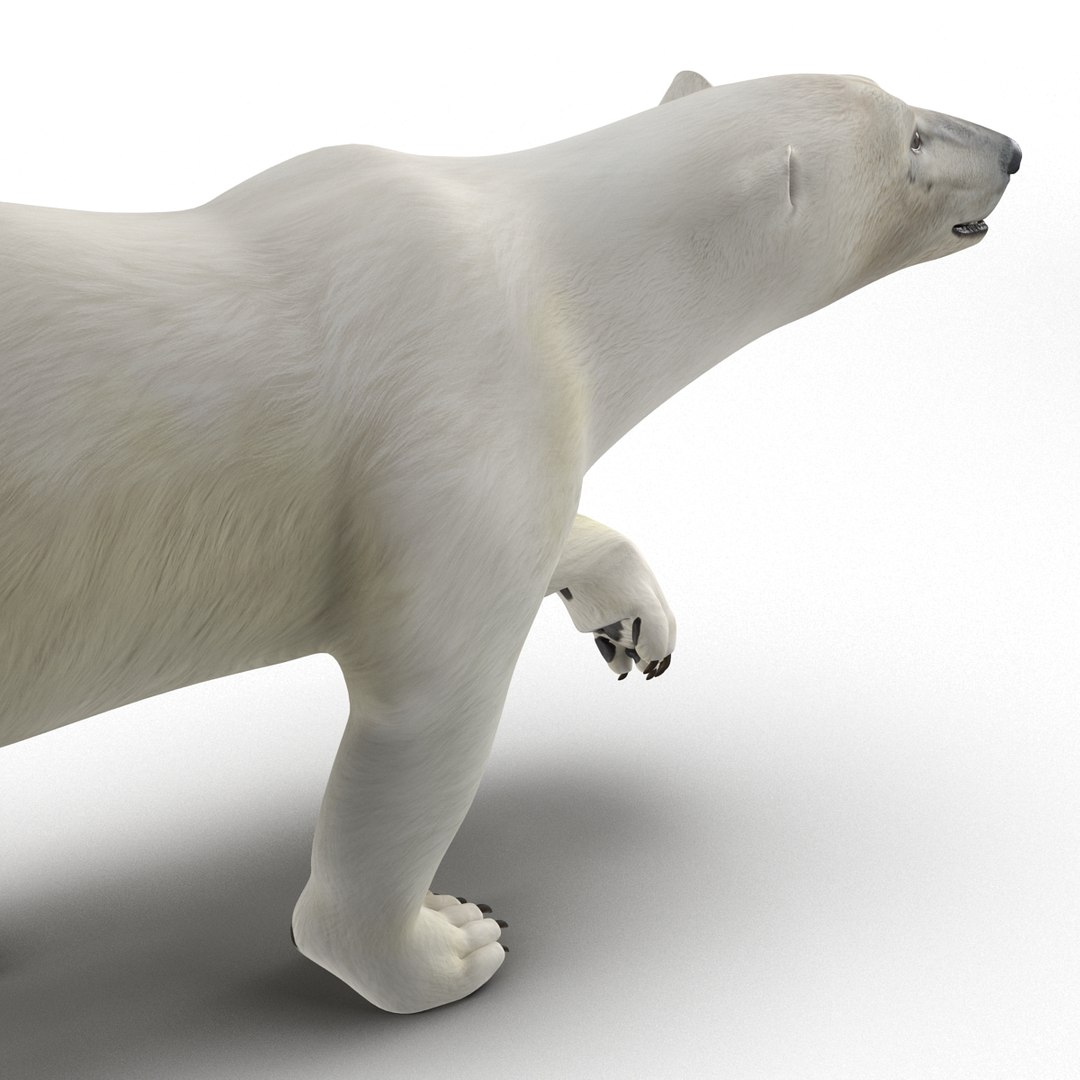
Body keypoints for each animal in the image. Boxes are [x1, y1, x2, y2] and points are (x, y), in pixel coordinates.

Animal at [0, 71, 1020, 1012]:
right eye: (912, 138)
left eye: (906, 103)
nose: (1011, 149)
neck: (558, 262)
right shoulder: (455, 418)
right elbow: (426, 711)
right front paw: (448, 942)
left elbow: (554, 539)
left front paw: (631, 621)